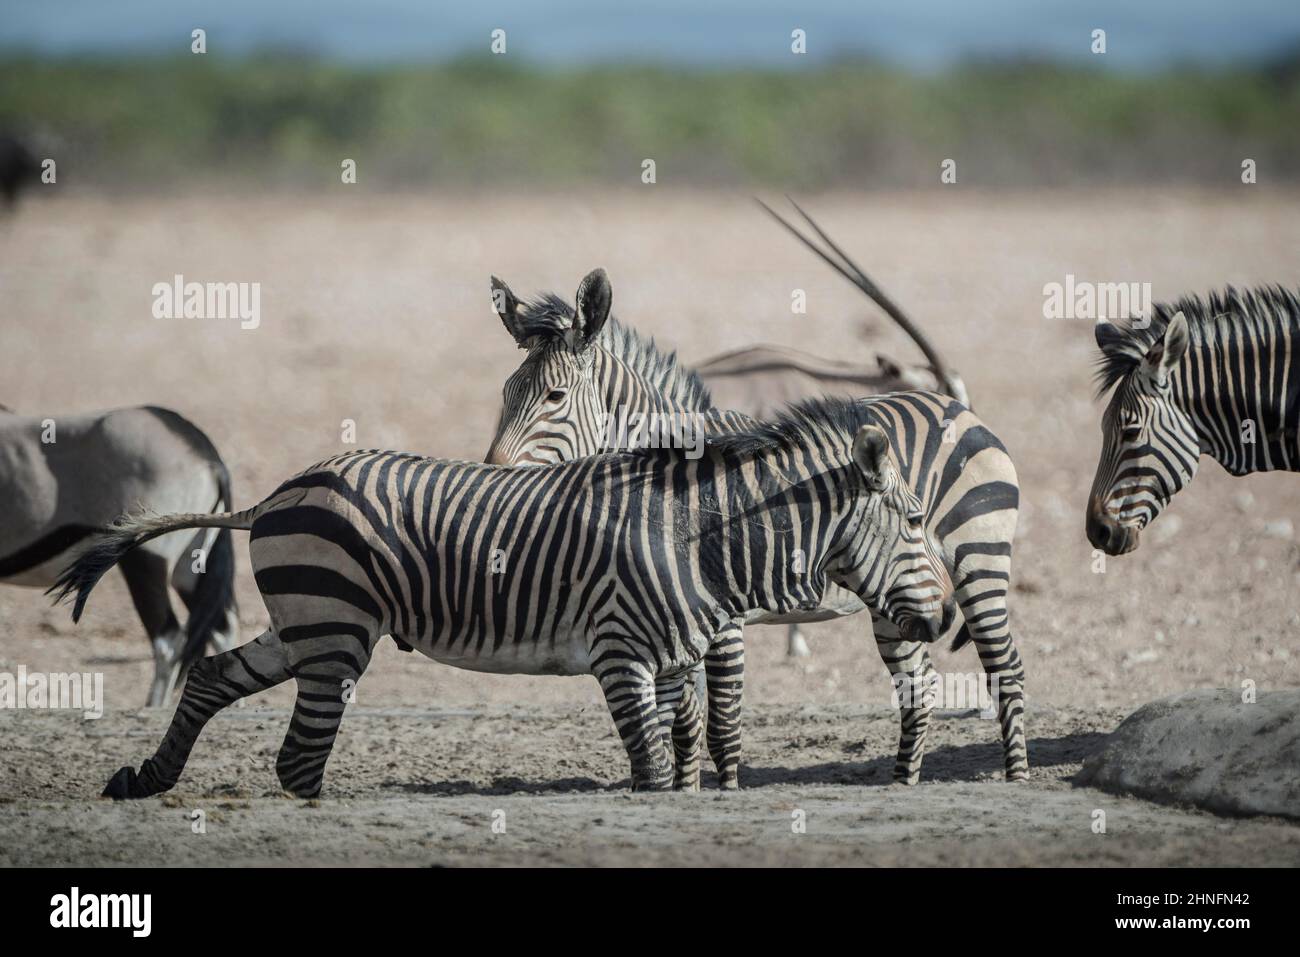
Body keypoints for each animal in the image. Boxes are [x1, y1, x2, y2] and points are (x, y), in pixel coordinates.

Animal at [1, 404, 239, 705]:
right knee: (222, 628)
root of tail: (203, 452)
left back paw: (153, 707)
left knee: (168, 640)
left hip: (146, 559)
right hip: (190, 567)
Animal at [52, 399, 955, 798]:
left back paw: (145, 778)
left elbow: (678, 762)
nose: (943, 618)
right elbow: (649, 768)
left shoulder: (669, 662)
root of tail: (269, 497)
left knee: (214, 679)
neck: (694, 534)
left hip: (306, 624)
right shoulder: (620, 653)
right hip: (336, 628)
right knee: (298, 756)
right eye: (915, 519)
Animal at [484, 269, 1027, 787]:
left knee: (1006, 669)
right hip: (898, 599)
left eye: (554, 396)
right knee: (921, 685)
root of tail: (958, 408)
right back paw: (903, 784)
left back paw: (1016, 777)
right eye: (505, 394)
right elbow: (682, 722)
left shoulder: (724, 622)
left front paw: (722, 790)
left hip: (979, 565)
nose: (495, 473)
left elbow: (721, 726)